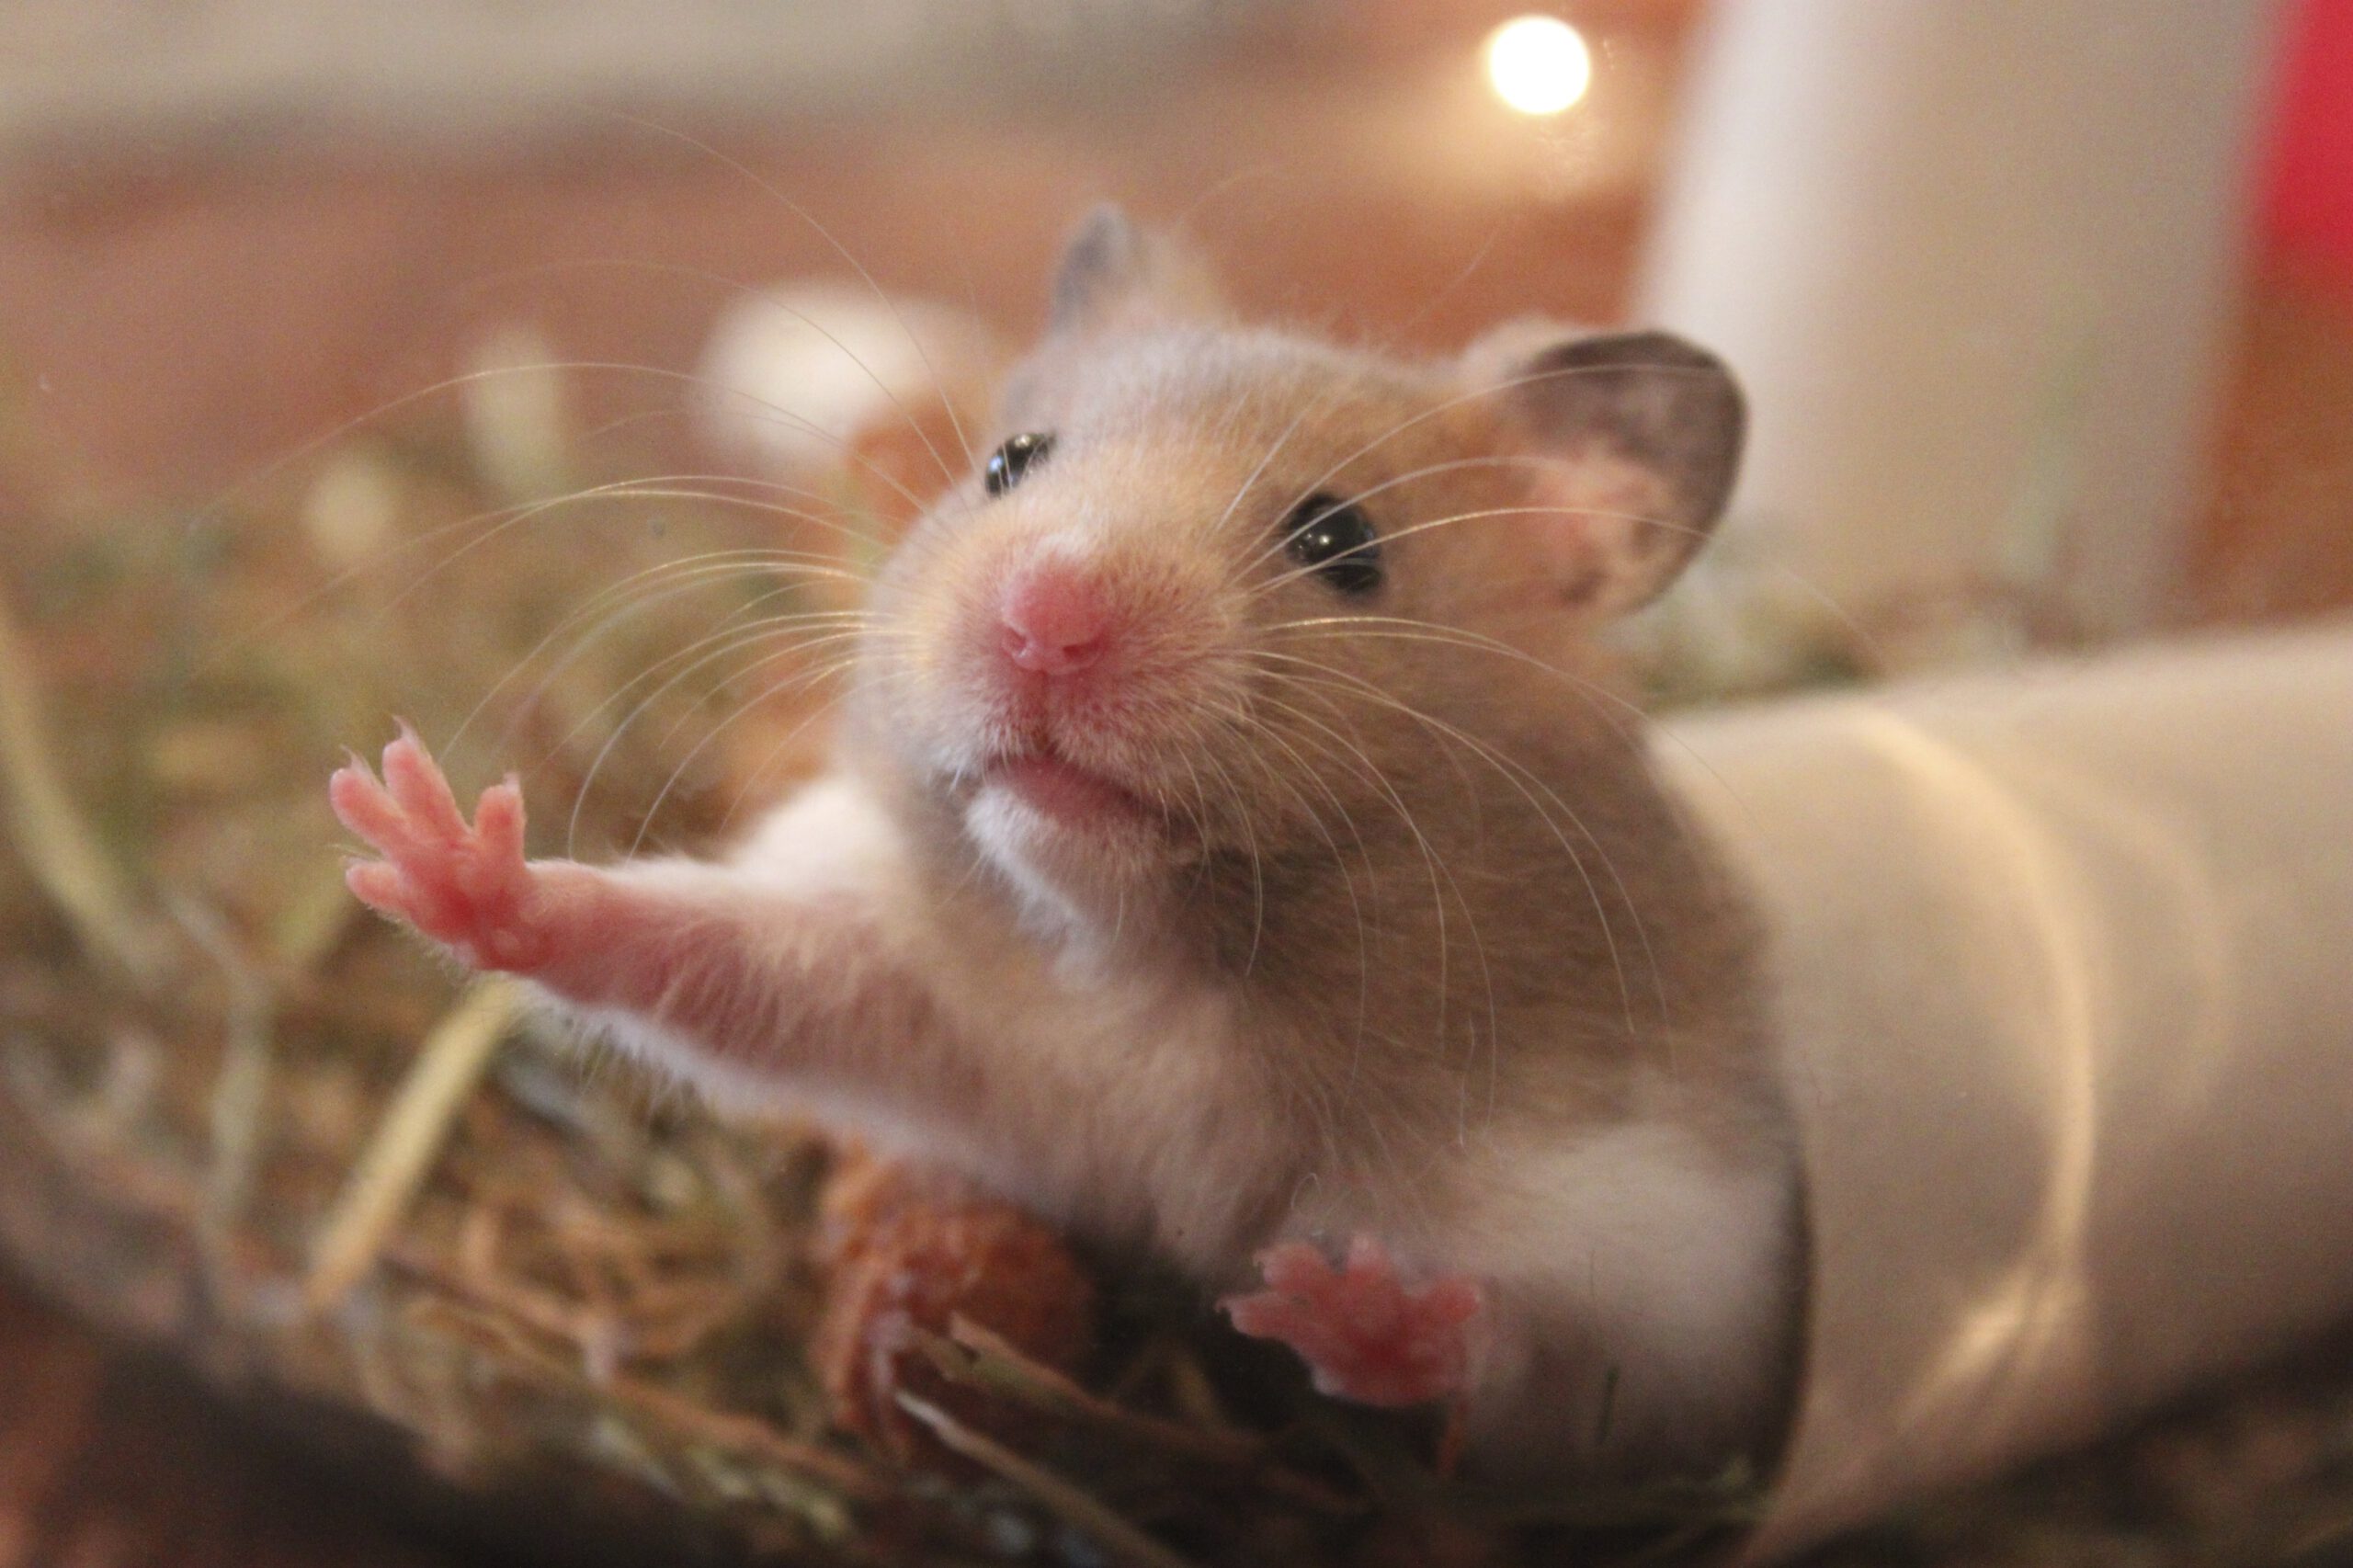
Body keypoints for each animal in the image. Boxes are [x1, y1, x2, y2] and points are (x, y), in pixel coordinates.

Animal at [329, 207, 1802, 1483]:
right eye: (1011, 460)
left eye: (1343, 540)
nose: (1046, 615)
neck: (1145, 957)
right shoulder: (912, 989)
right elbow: (695, 950)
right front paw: (429, 841)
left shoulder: (1660, 1236)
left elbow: (1533, 1344)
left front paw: (1344, 1303)